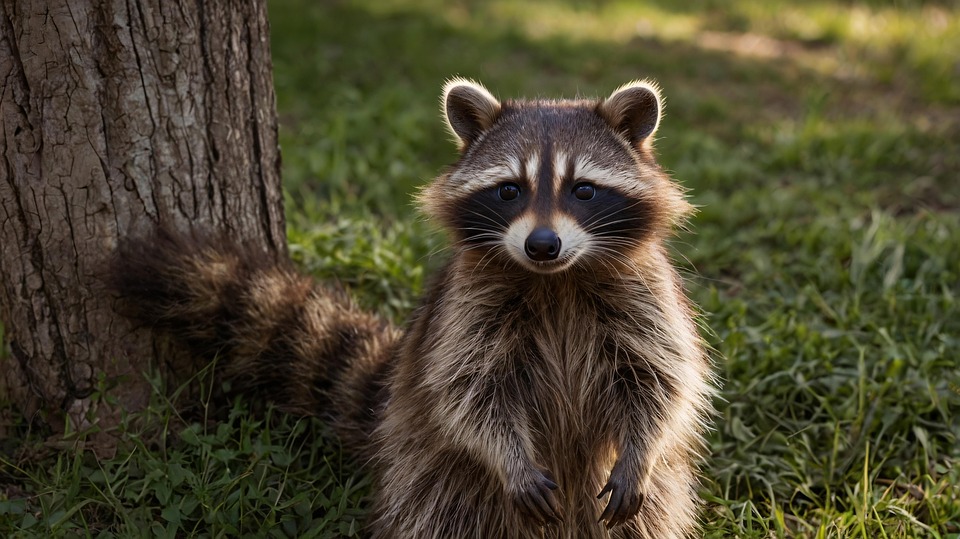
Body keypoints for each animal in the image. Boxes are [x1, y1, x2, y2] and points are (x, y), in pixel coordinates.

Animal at [110, 79, 716, 539]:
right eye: (510, 190)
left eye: (583, 190)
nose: (542, 245)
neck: (556, 282)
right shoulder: (466, 305)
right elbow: (468, 388)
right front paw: (511, 459)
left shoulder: (643, 291)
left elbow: (658, 377)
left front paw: (640, 450)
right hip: (435, 474)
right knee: (443, 514)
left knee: (648, 517)